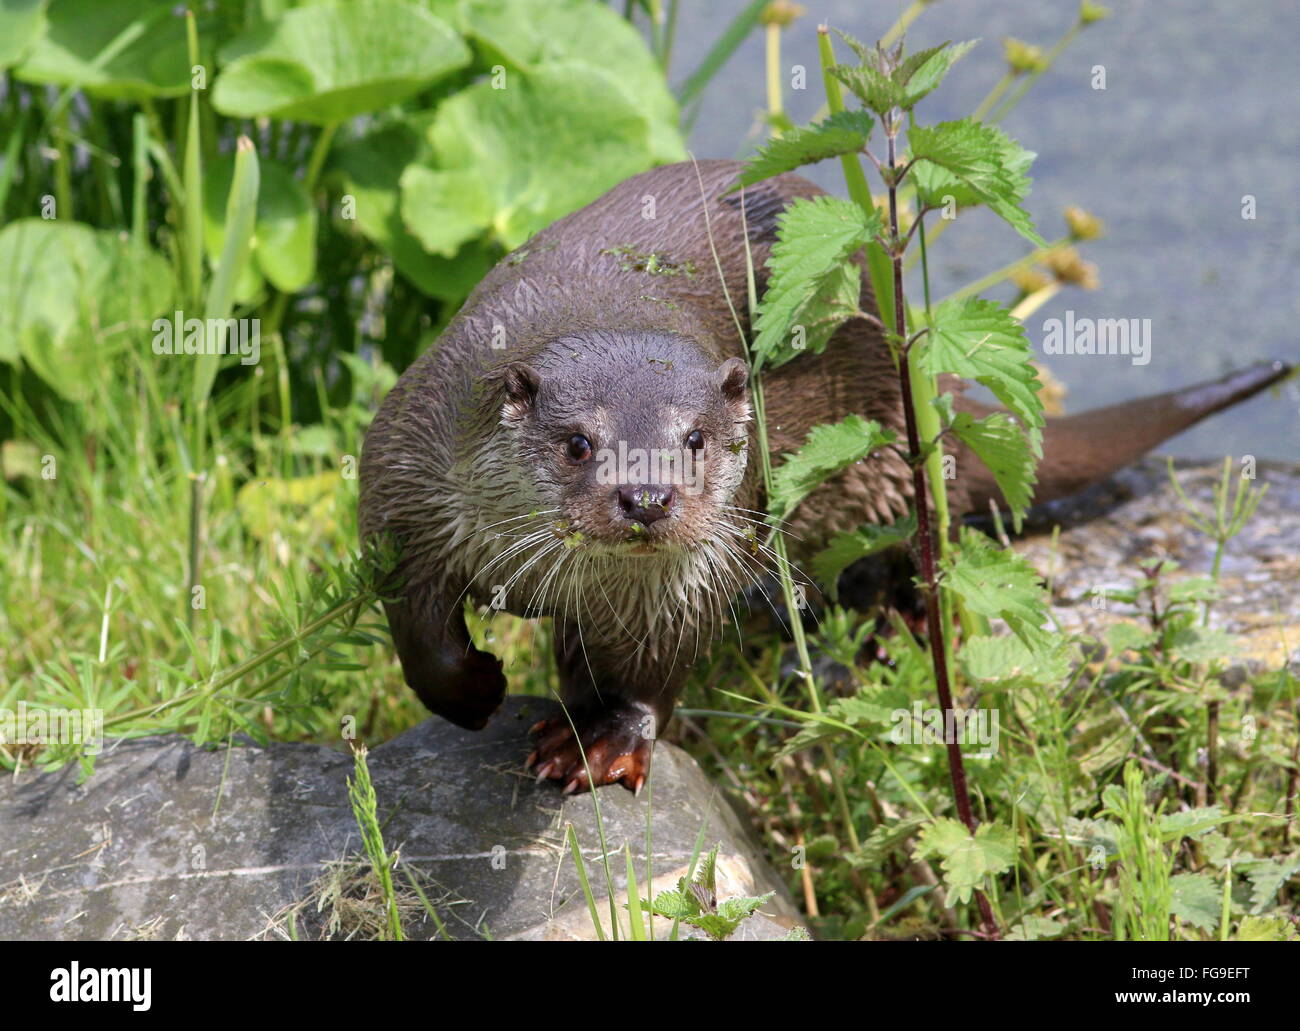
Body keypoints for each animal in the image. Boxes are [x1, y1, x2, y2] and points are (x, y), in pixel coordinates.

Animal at [360, 159, 1290, 794]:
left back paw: (882, 638)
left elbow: (655, 666)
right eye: (579, 443)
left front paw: (601, 741)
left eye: (695, 439)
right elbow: (415, 624)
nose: (648, 498)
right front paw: (475, 690)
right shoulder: (405, 482)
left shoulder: (691, 575)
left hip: (890, 472)